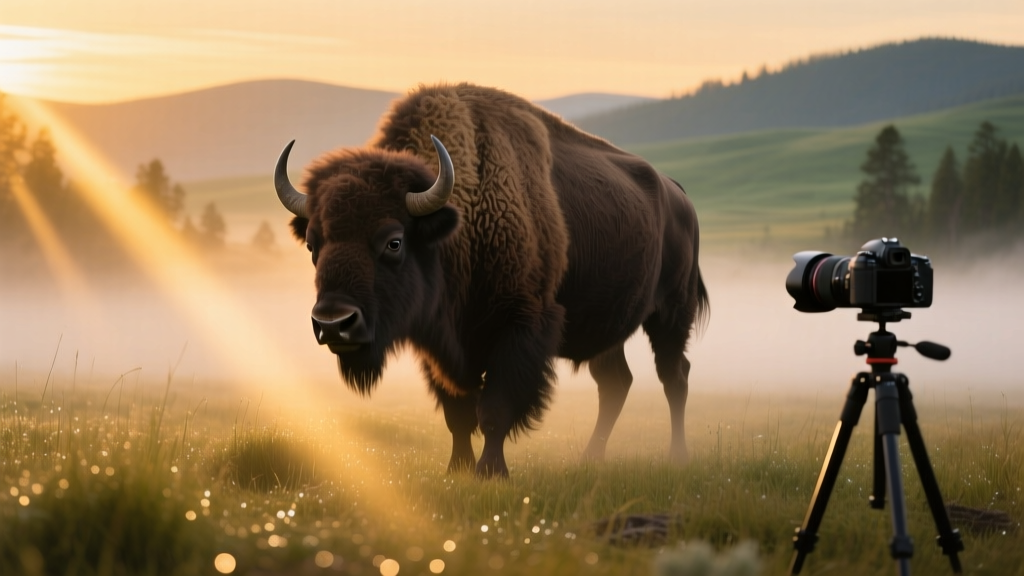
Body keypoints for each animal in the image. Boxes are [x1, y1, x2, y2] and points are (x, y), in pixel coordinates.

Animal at [274, 83, 708, 477]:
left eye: (394, 241)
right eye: (313, 244)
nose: (333, 323)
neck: (457, 222)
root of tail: (679, 196)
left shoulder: (519, 328)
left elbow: (494, 409)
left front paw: (491, 472)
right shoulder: (440, 344)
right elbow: (458, 413)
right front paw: (457, 469)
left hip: (671, 315)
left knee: (674, 376)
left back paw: (678, 457)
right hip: (608, 331)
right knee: (616, 383)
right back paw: (591, 459)